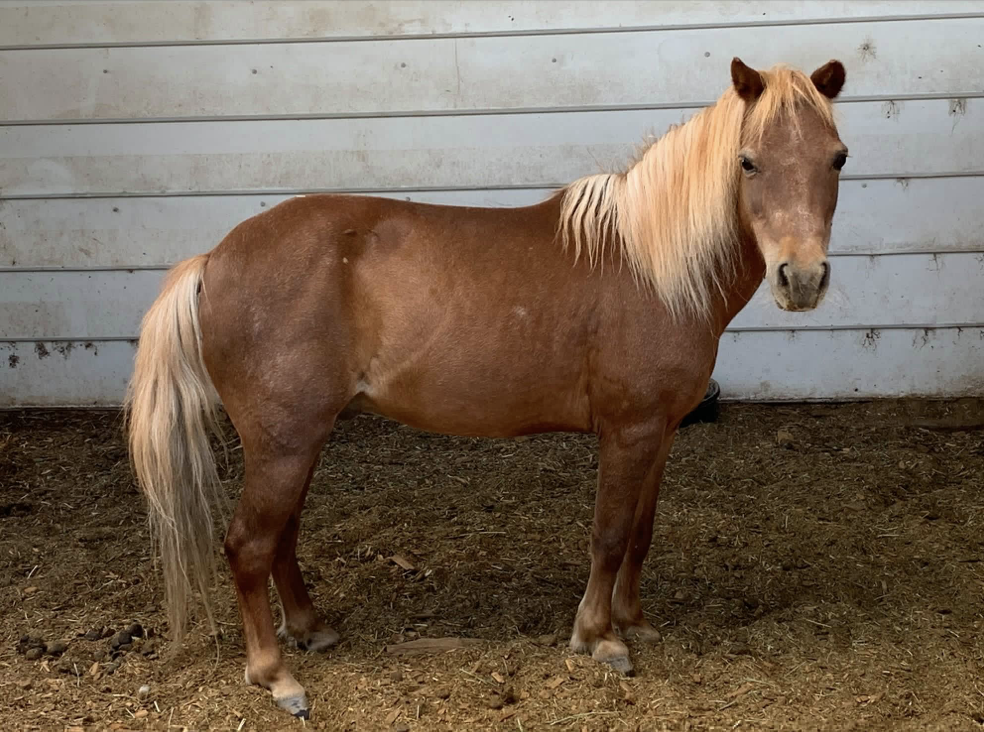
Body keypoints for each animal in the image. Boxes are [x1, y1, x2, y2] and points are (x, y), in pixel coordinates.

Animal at [126, 57, 848, 718]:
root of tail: (213, 260)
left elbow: (640, 533)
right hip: (284, 442)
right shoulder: (630, 430)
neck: (652, 267)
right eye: (748, 162)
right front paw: (599, 637)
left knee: (281, 535)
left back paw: (310, 630)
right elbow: (610, 534)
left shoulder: (661, 431)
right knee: (249, 544)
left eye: (838, 159)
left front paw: (633, 620)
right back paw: (275, 675)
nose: (802, 277)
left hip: (299, 440)